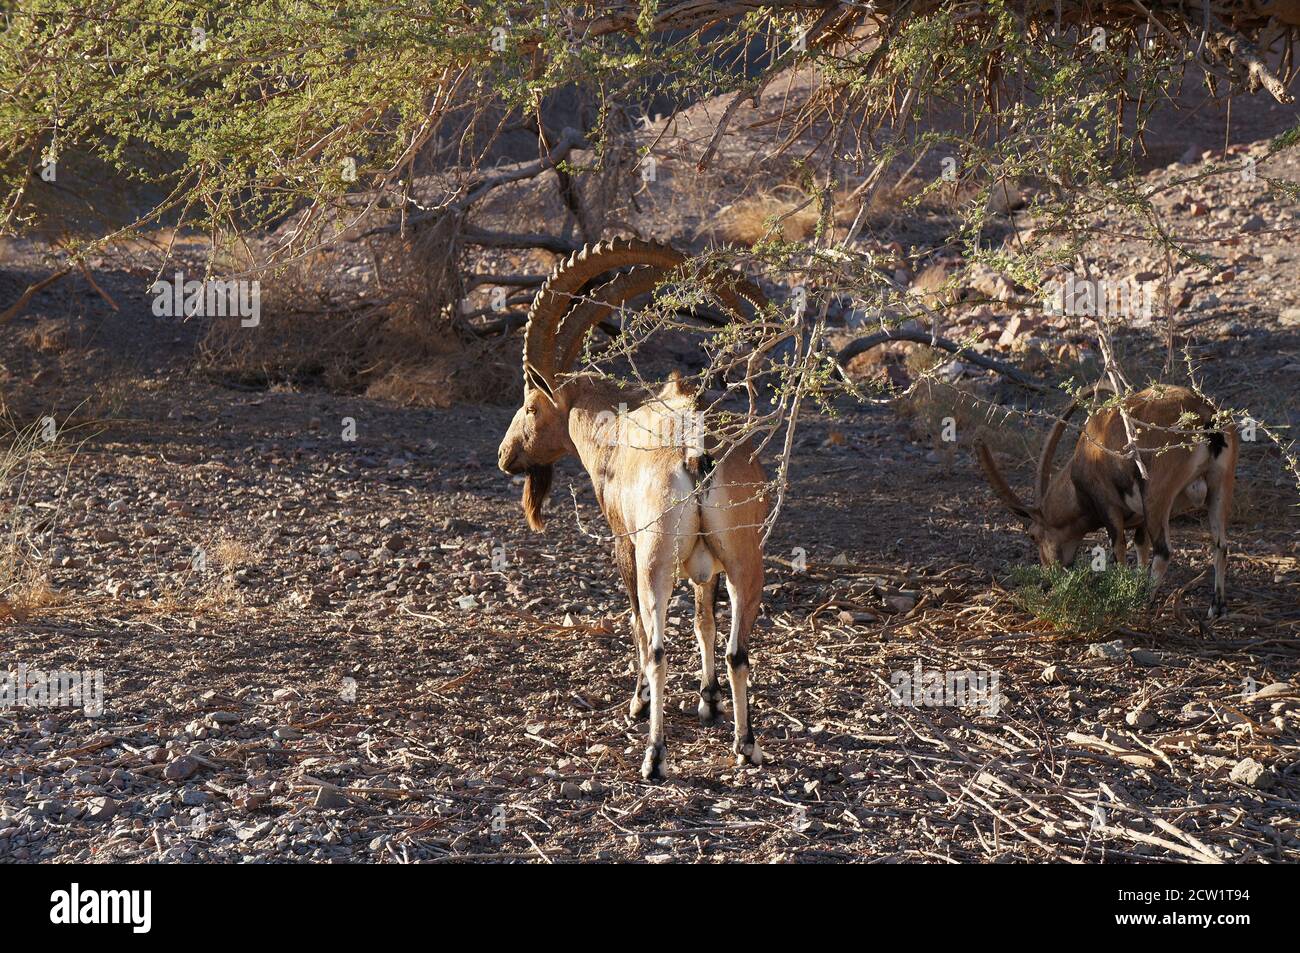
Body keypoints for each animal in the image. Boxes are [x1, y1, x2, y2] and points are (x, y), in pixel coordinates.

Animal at [497, 238, 769, 780]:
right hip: (745, 559)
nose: (504, 455)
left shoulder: (625, 546)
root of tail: (696, 453)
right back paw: (744, 744)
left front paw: (638, 703)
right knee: (737, 649)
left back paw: (654, 755)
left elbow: (639, 628)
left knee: (658, 645)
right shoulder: (705, 566)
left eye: (531, 405)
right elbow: (704, 622)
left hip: (655, 560)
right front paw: (707, 702)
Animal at [975, 384, 1239, 617]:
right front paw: (1135, 582)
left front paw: (1123, 592)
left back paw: (1142, 604)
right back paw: (1216, 608)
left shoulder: (1108, 506)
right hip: (1220, 487)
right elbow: (1141, 546)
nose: (1048, 579)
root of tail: (1206, 419)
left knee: (1164, 551)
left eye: (1033, 535)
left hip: (1157, 493)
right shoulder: (1140, 518)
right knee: (1221, 545)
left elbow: (1119, 549)